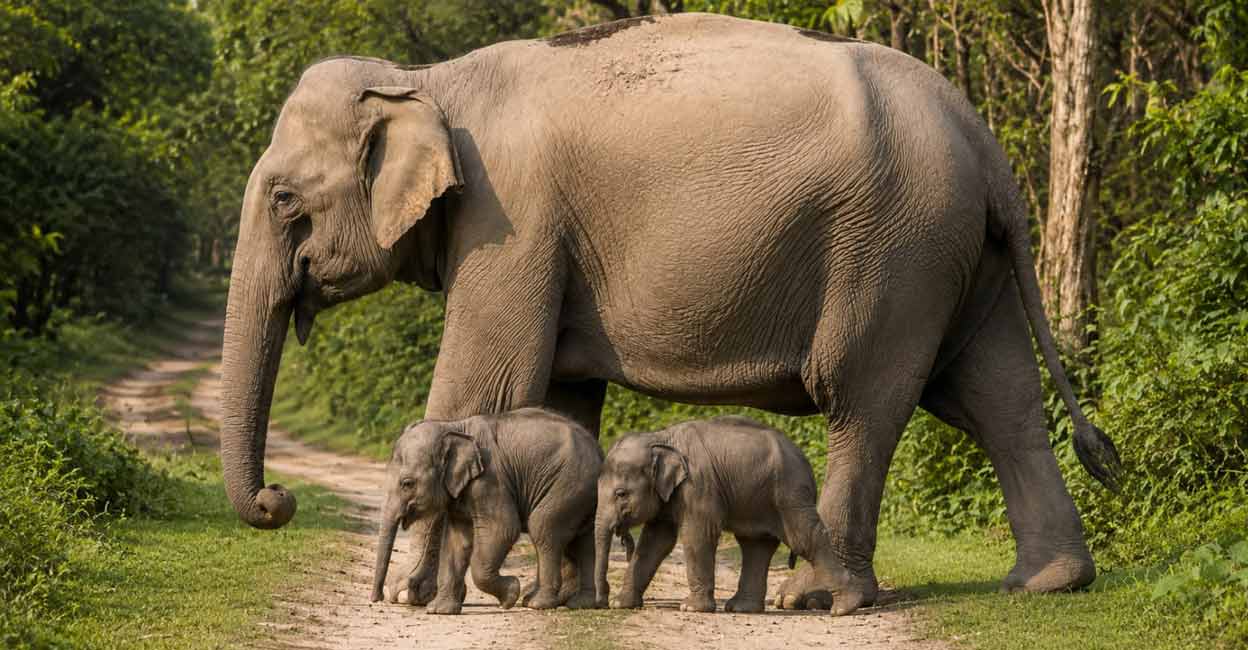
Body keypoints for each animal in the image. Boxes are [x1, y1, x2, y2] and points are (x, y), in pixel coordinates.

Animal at [371, 408, 602, 613]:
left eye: (407, 484)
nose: (377, 599)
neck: (453, 426)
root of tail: (599, 453)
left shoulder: (490, 480)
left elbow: (504, 529)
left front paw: (510, 594)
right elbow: (456, 540)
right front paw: (439, 611)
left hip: (570, 485)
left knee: (543, 528)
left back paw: (536, 603)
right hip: (583, 495)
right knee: (585, 541)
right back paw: (581, 603)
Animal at [595, 416, 853, 614]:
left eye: (620, 494)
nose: (603, 602)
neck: (661, 438)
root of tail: (808, 465)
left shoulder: (698, 486)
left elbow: (697, 535)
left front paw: (691, 608)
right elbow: (655, 542)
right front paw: (621, 604)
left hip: (789, 495)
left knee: (804, 538)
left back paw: (843, 608)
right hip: (761, 499)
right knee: (755, 545)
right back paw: (741, 608)